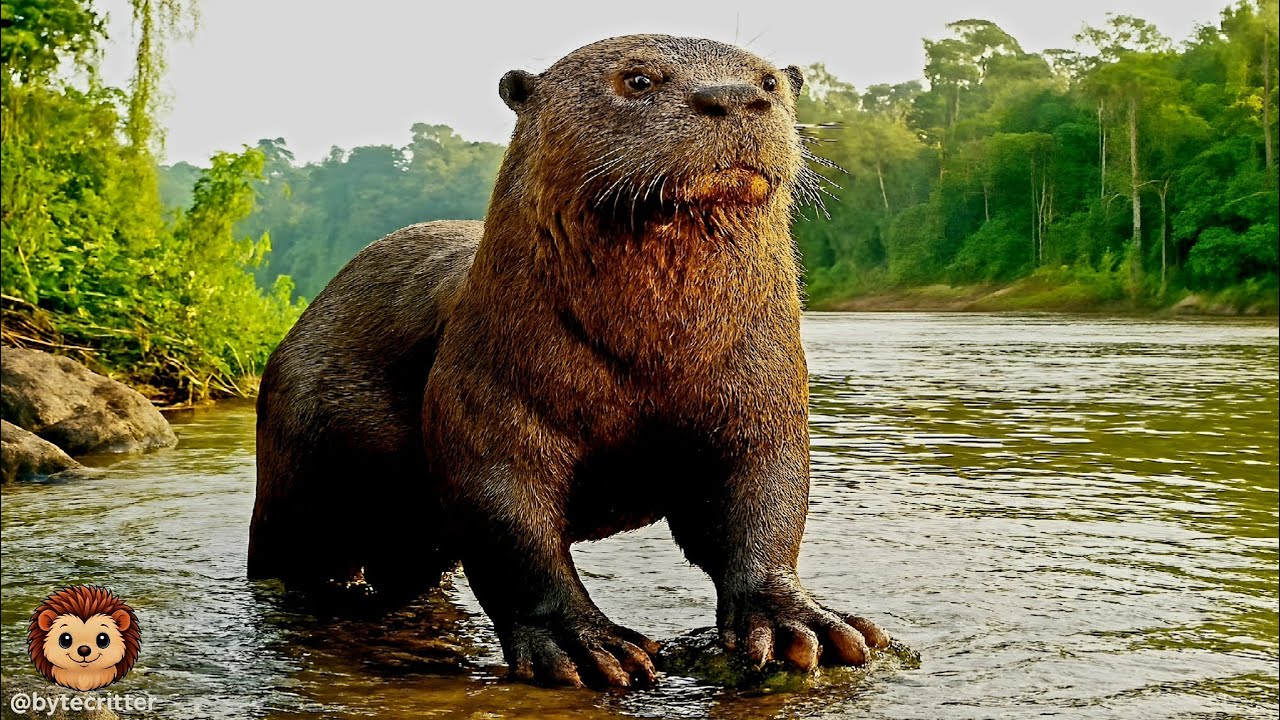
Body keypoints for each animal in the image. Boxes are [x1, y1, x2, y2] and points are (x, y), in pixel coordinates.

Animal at [249, 34, 890, 688]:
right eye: (637, 80)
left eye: (769, 82)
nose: (735, 97)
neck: (651, 354)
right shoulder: (487, 388)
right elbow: (510, 525)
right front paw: (584, 642)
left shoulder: (764, 396)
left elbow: (764, 499)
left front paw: (798, 621)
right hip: (293, 468)